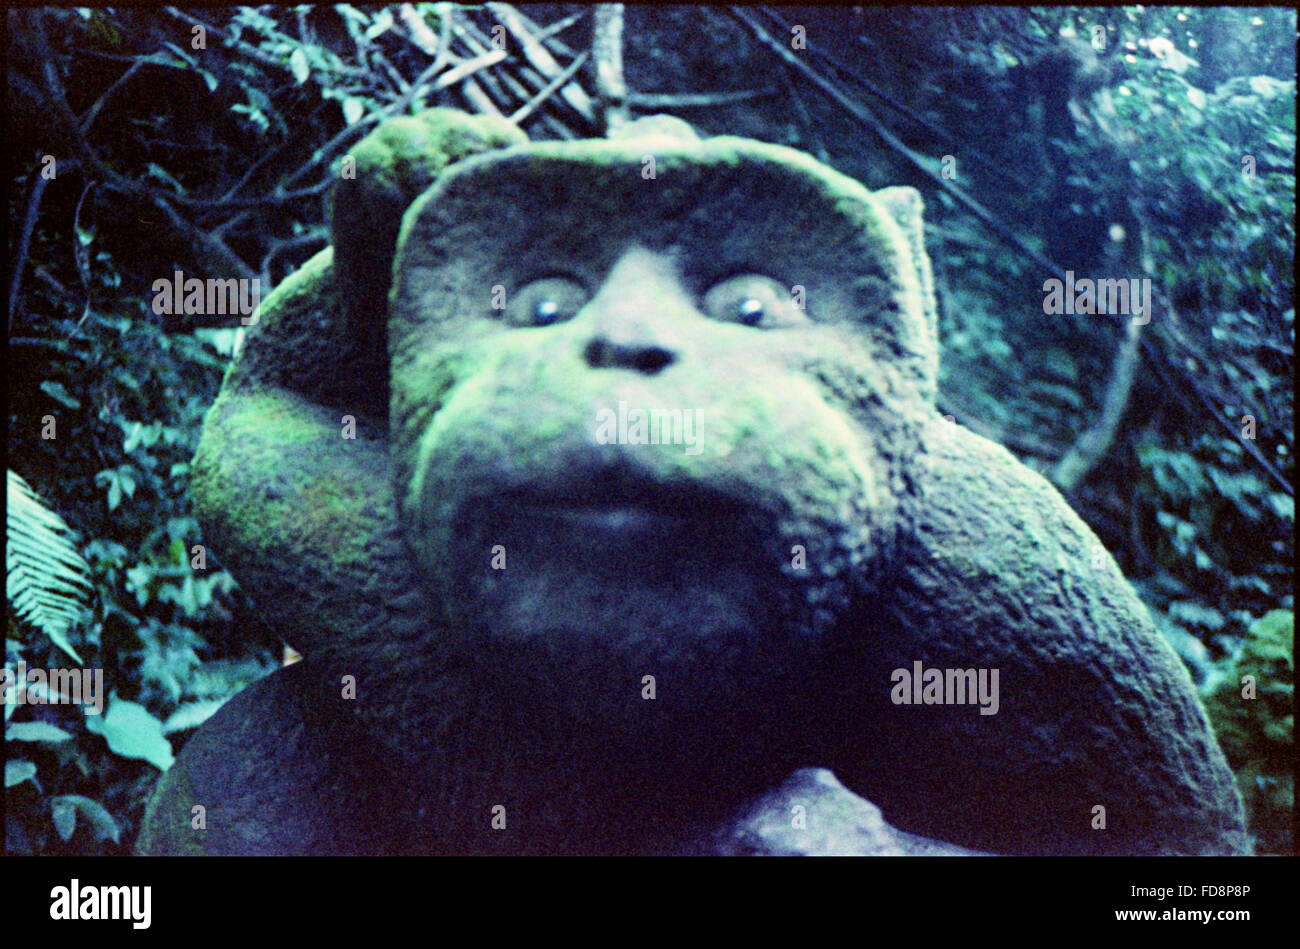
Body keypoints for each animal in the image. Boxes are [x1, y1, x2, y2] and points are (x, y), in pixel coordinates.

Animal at [138, 109, 1248, 855]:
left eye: (751, 308)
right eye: (541, 304)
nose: (628, 349)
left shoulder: (1012, 595)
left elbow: (1170, 832)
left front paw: (800, 827)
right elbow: (261, 426)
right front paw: (403, 181)